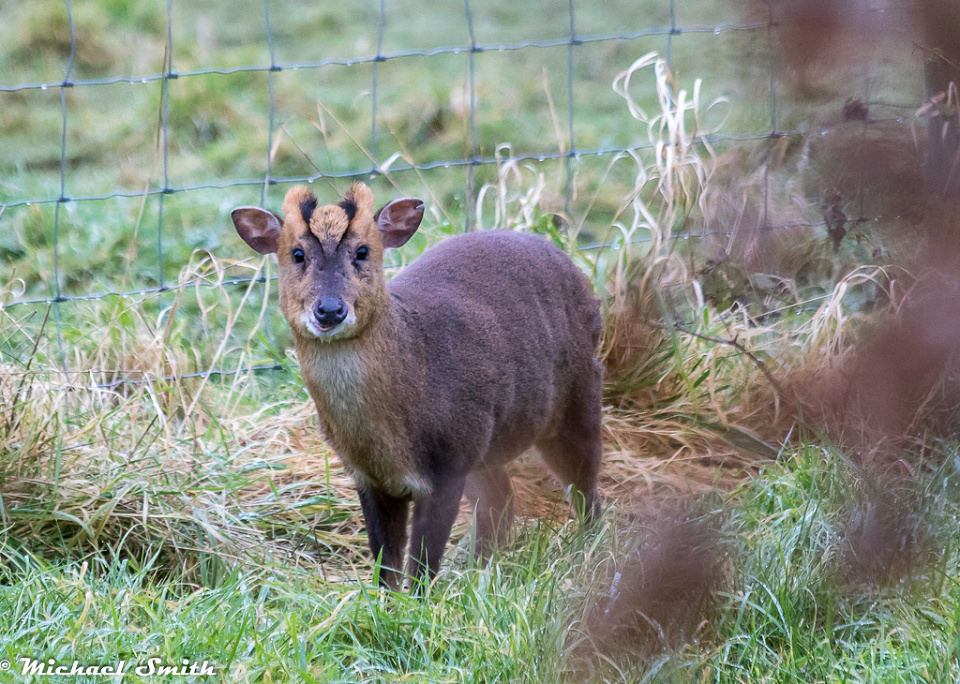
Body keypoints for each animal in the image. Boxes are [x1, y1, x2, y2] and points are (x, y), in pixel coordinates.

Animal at [230, 183, 603, 591]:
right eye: (297, 254)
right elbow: (386, 566)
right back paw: (477, 572)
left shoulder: (448, 465)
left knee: (584, 486)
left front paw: (421, 600)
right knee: (500, 500)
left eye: (362, 251)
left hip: (578, 392)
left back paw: (588, 554)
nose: (329, 309)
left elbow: (422, 564)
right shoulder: (368, 477)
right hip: (487, 443)